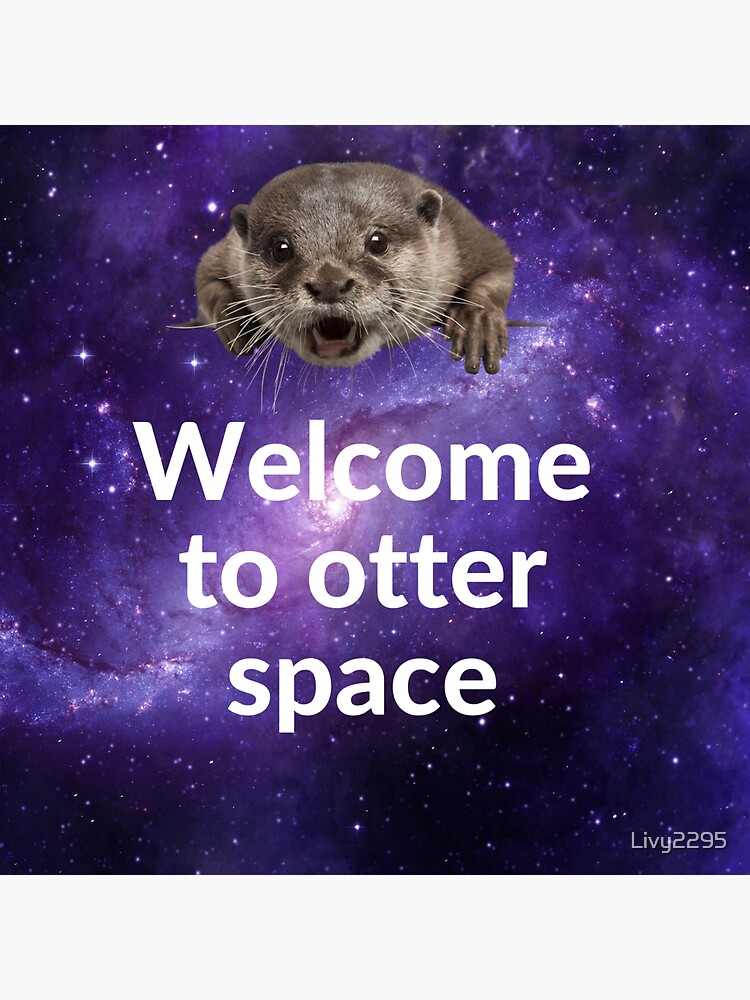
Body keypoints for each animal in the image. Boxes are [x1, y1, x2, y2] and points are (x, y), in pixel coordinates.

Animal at [178, 162, 520, 375]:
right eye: (280, 249)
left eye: (378, 241)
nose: (330, 283)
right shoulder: (226, 251)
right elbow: (204, 277)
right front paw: (236, 319)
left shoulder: (463, 234)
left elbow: (499, 265)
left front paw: (475, 320)